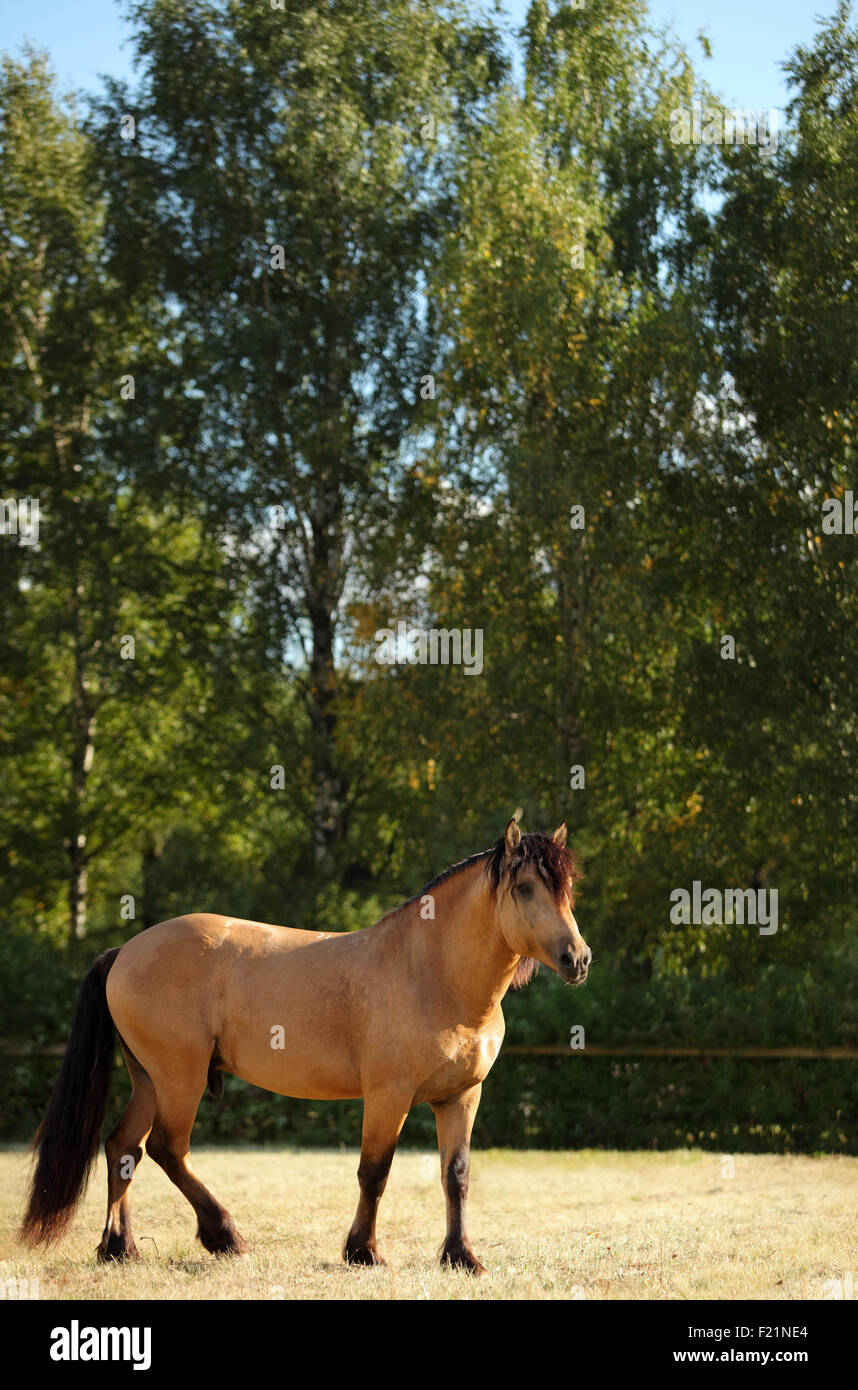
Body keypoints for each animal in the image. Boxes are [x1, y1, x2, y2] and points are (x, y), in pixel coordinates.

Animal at [20, 817, 589, 1275]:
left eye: (566, 891)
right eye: (524, 887)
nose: (577, 958)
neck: (431, 973)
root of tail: (125, 951)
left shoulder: (460, 1097)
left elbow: (457, 1176)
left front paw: (461, 1256)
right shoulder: (388, 1096)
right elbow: (374, 1172)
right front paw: (363, 1252)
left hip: (149, 1081)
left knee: (124, 1148)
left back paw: (120, 1249)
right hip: (179, 1079)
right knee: (166, 1148)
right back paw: (224, 1235)